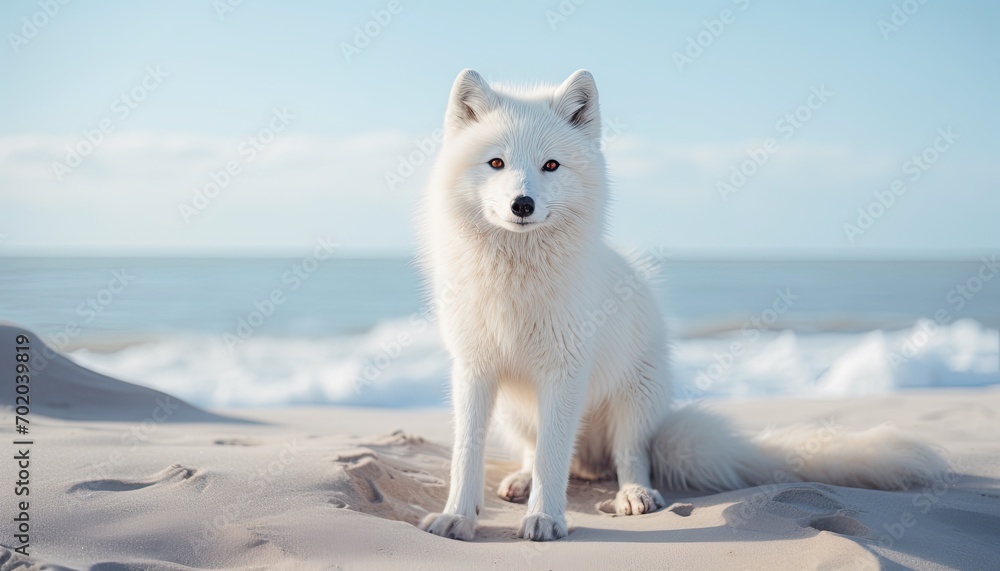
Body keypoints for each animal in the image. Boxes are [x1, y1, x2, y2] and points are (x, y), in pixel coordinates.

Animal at [417, 69, 947, 541]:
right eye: (496, 164)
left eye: (551, 165)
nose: (522, 205)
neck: (514, 279)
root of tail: (591, 458)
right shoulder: (474, 369)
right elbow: (468, 454)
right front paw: (458, 517)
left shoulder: (565, 372)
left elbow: (553, 459)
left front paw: (545, 519)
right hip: (516, 409)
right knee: (535, 451)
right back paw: (521, 480)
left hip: (636, 396)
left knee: (630, 456)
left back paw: (634, 494)